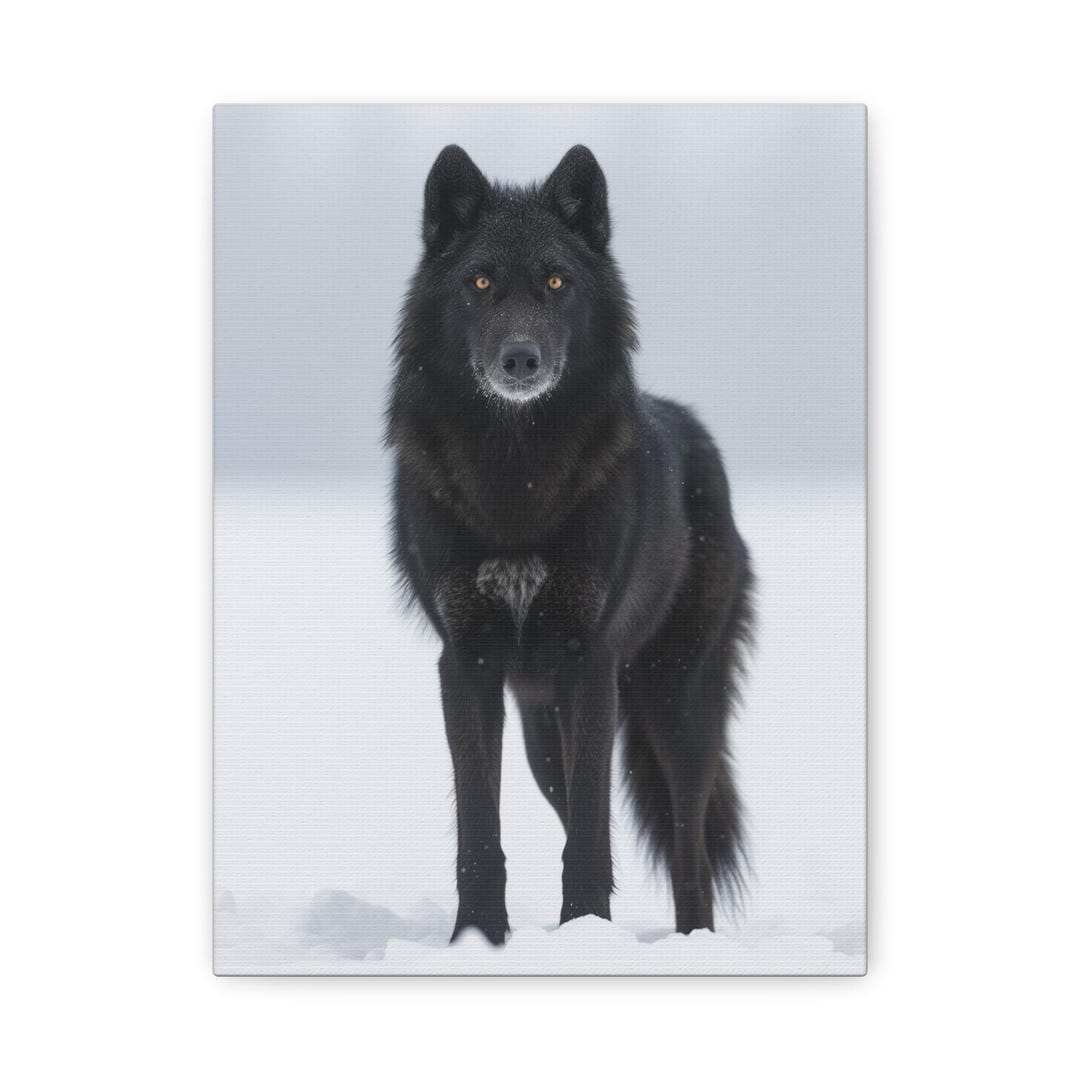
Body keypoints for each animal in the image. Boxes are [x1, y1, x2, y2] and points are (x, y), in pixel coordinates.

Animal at [386, 145, 753, 943]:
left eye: (557, 281)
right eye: (480, 282)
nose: (520, 359)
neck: (517, 476)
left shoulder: (592, 662)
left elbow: (589, 833)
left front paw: (585, 926)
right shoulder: (467, 663)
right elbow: (481, 826)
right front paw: (478, 939)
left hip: (677, 707)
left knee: (688, 847)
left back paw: (693, 942)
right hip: (540, 730)